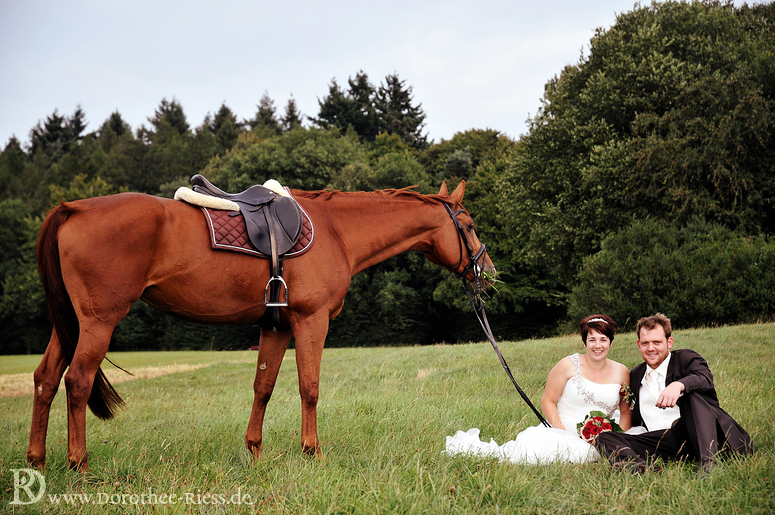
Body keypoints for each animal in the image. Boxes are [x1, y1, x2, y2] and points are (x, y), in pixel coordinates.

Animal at [28, 180, 498, 472]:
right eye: (469, 225)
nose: (488, 272)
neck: (337, 232)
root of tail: (73, 208)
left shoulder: (276, 327)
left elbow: (264, 387)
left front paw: (255, 452)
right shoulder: (311, 321)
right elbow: (310, 387)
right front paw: (312, 452)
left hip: (69, 324)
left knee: (46, 378)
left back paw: (37, 461)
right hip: (98, 321)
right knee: (78, 381)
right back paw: (79, 465)